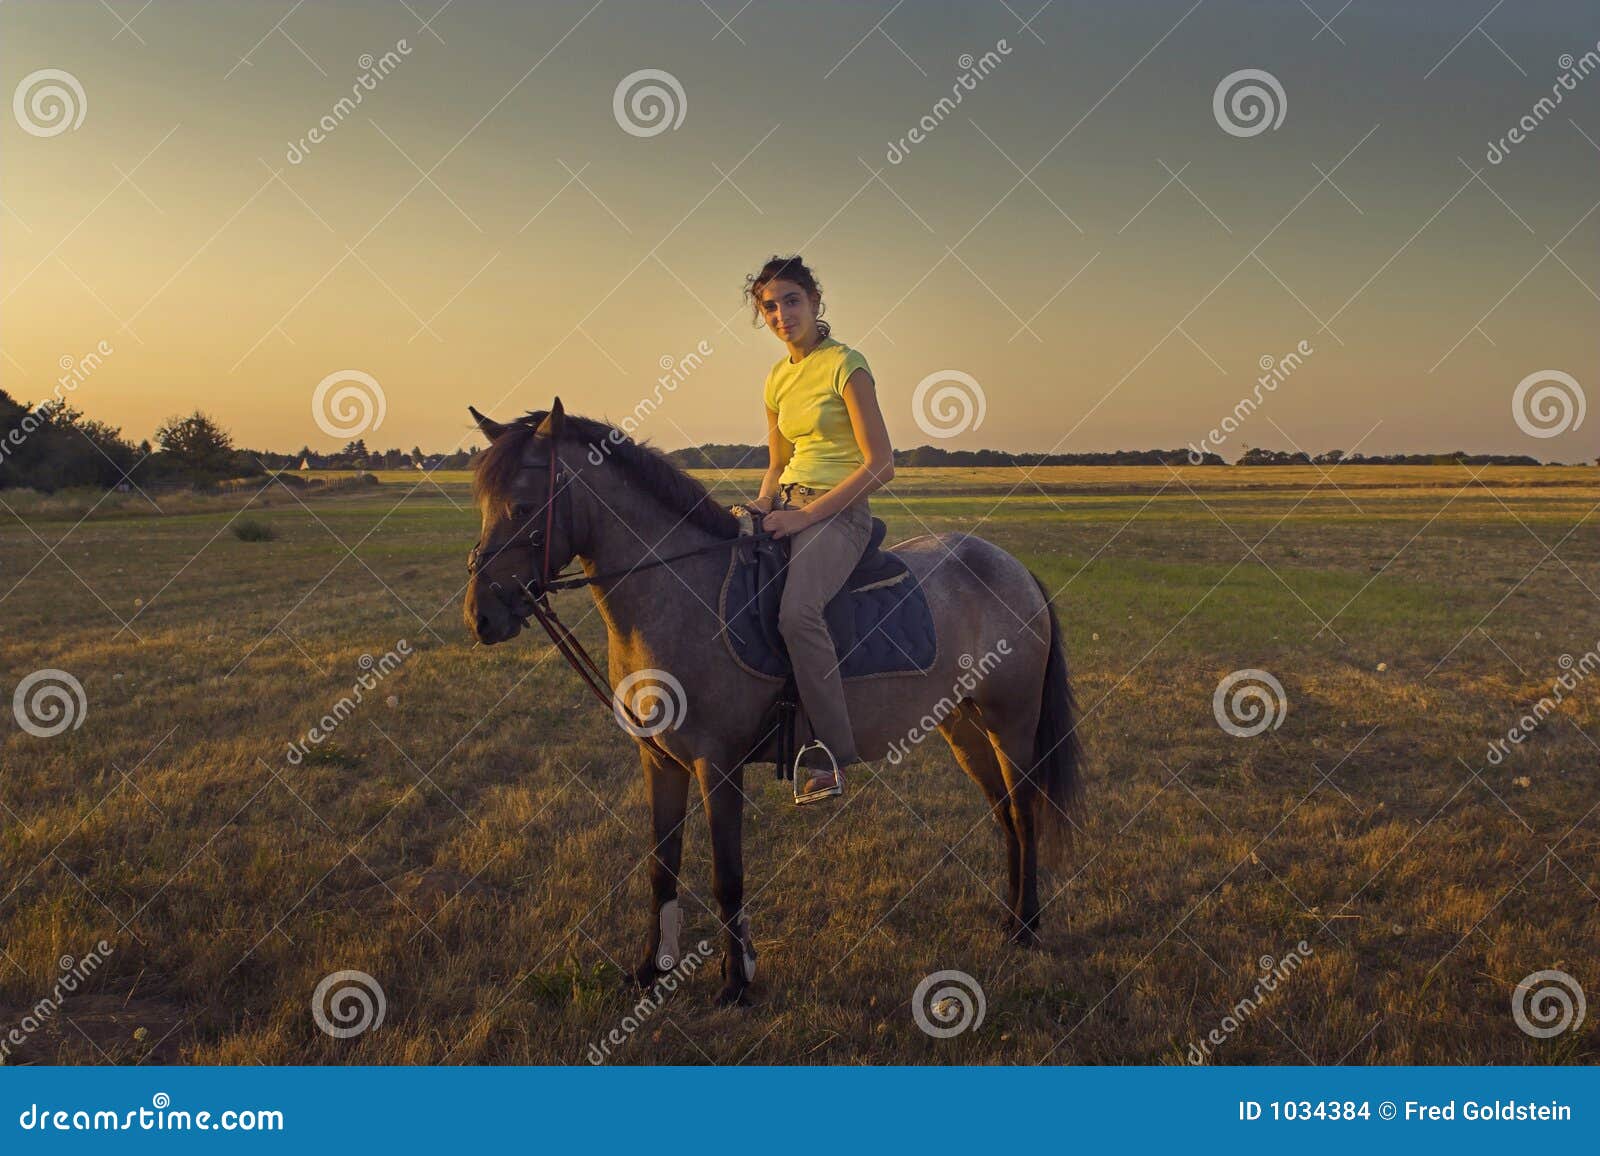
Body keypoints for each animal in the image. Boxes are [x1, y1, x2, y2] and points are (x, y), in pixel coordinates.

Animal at [463, 397, 1083, 1006]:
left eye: (523, 506)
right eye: (482, 504)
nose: (481, 616)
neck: (678, 591)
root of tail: (1012, 567)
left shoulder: (717, 763)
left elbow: (727, 874)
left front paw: (737, 980)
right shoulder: (660, 760)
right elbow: (662, 867)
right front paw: (648, 971)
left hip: (1011, 722)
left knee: (1023, 812)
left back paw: (1027, 927)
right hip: (964, 726)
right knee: (1004, 813)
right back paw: (1008, 919)